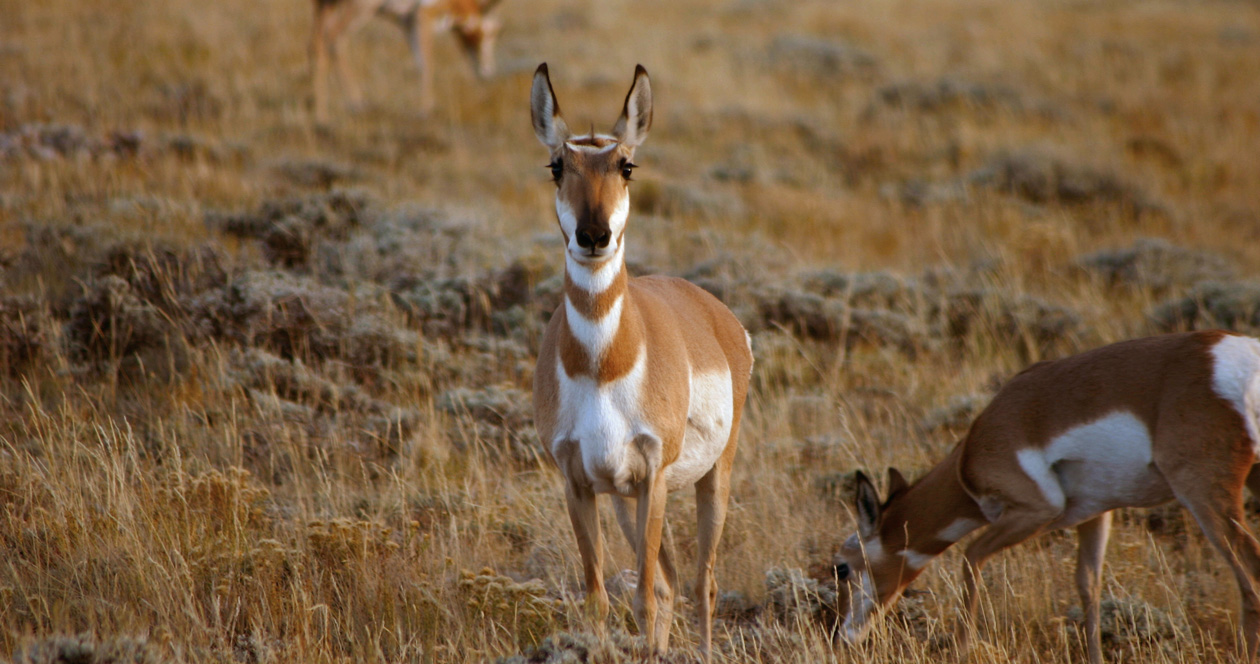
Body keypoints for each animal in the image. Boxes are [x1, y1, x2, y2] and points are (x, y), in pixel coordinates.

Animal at [309, 0, 502, 122]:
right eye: (492, 33)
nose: (488, 72)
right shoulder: (423, 16)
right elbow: (428, 64)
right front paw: (425, 110)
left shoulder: (407, 23)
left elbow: (419, 62)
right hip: (359, 8)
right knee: (334, 38)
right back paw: (354, 105)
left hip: (324, 6)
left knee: (317, 44)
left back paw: (323, 115)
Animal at [530, 63, 754, 658]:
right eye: (557, 165)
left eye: (626, 165)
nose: (594, 234)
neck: (603, 367)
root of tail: (715, 313)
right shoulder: (579, 483)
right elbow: (599, 599)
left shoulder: (653, 475)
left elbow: (645, 598)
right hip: (626, 501)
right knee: (673, 582)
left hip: (711, 478)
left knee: (701, 583)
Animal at [832, 330, 1260, 663]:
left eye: (841, 567)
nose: (841, 638)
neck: (974, 449)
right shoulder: (1095, 516)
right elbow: (1089, 588)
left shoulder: (1035, 512)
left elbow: (970, 559)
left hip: (1203, 494)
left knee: (1250, 580)